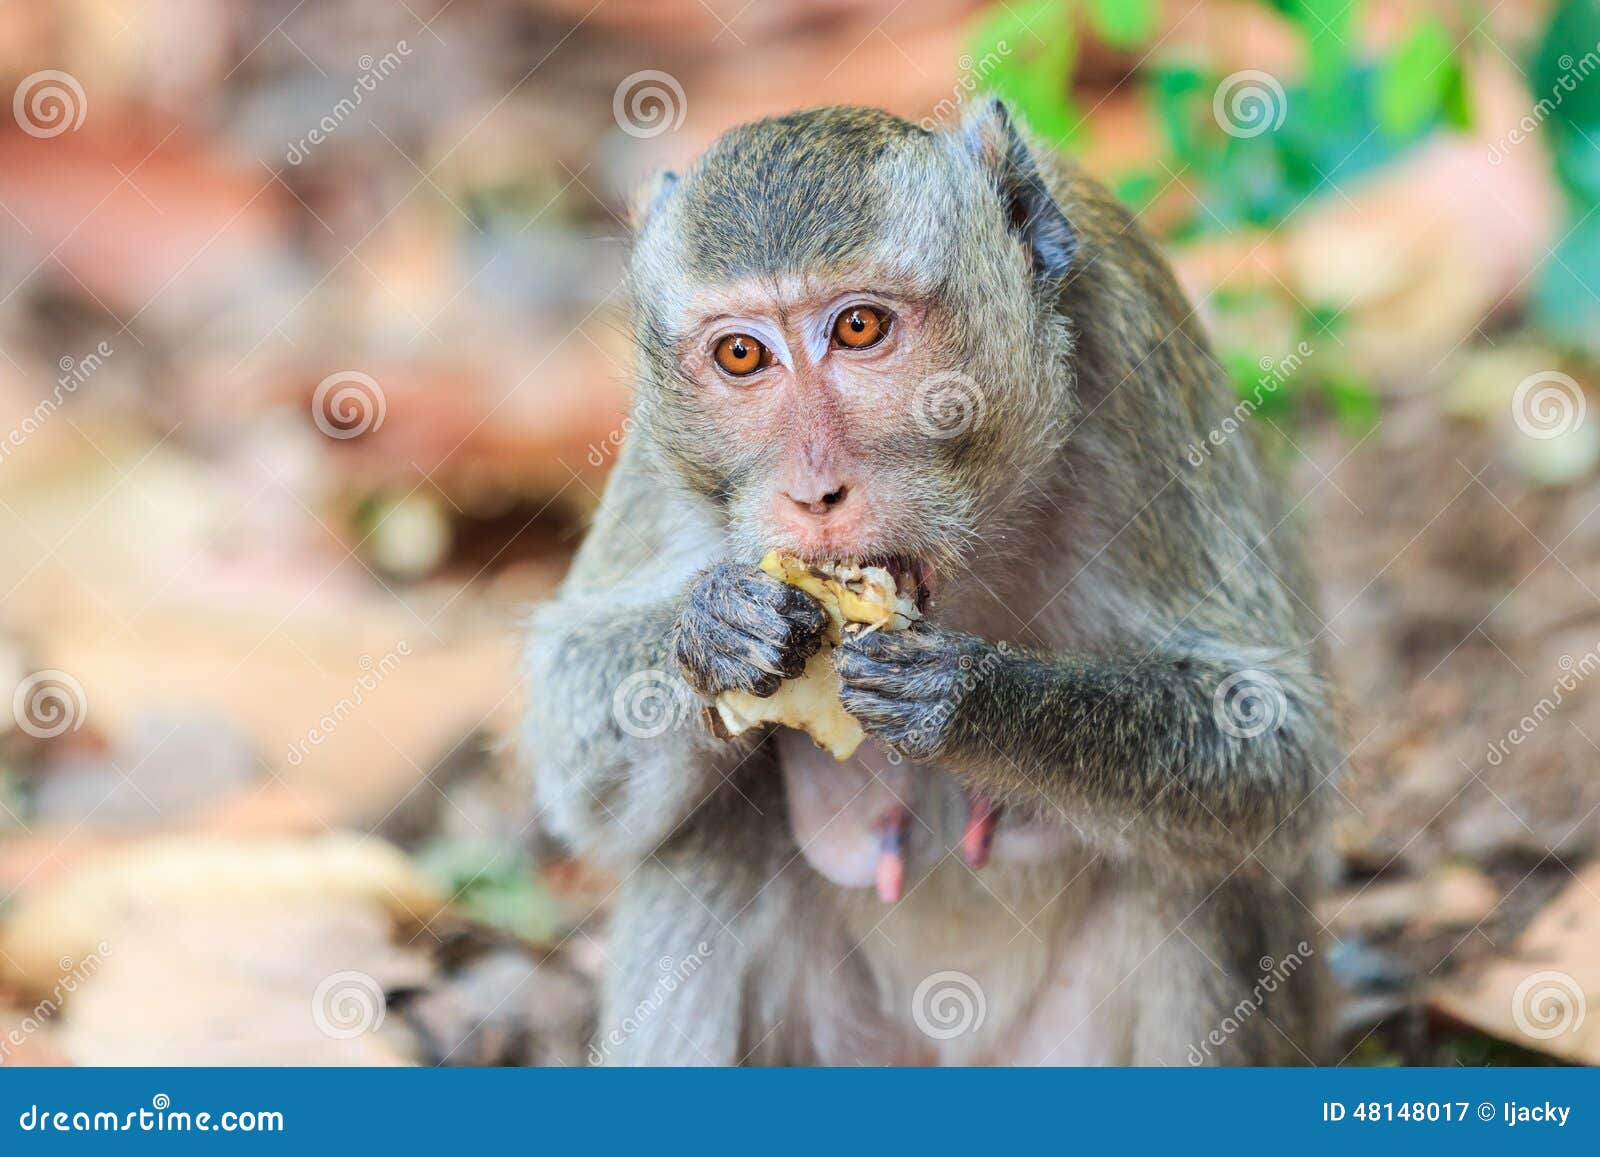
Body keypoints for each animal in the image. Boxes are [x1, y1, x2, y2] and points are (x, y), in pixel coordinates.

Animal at [522, 99, 1340, 1066]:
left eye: (859, 328)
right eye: (741, 354)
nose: (813, 490)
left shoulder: (1133, 348)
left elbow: (1270, 747)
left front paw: (968, 695)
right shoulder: (664, 448)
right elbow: (581, 770)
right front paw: (718, 629)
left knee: (1198, 876)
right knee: (704, 838)